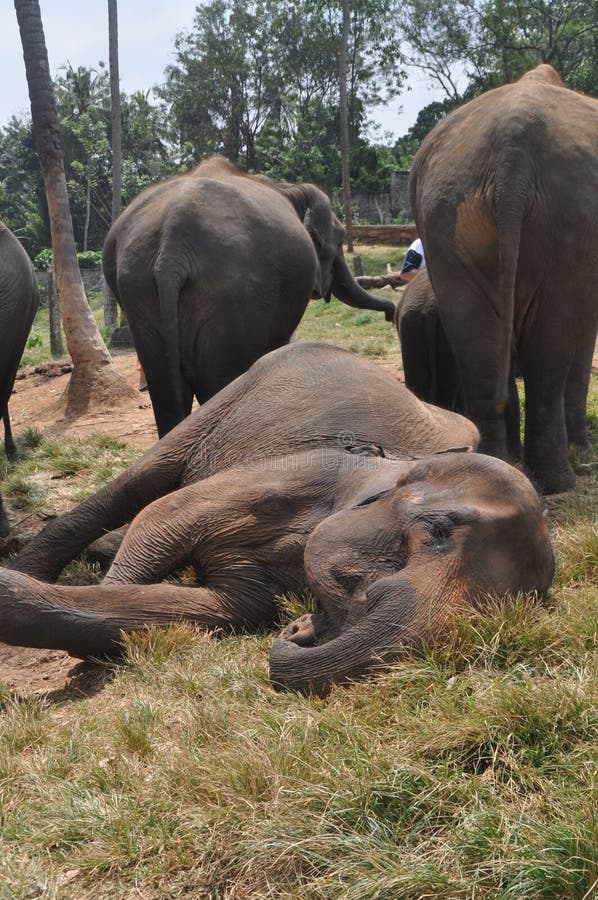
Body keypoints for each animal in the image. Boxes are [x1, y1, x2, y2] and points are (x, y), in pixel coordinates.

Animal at [2, 343, 554, 695]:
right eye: (436, 532)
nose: (300, 626)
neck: (391, 465)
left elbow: (193, 610)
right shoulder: (303, 471)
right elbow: (166, 517)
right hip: (234, 395)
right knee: (142, 481)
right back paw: (32, 564)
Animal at [103, 155, 396, 438]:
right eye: (339, 239)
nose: (391, 314)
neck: (287, 187)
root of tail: (171, 252)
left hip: (139, 294)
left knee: (166, 391)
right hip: (231, 299)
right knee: (219, 385)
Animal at [409, 64, 598, 494]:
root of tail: (513, 159)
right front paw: (585, 454)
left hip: (445, 214)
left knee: (477, 339)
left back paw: (501, 465)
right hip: (574, 222)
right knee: (551, 352)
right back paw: (559, 481)